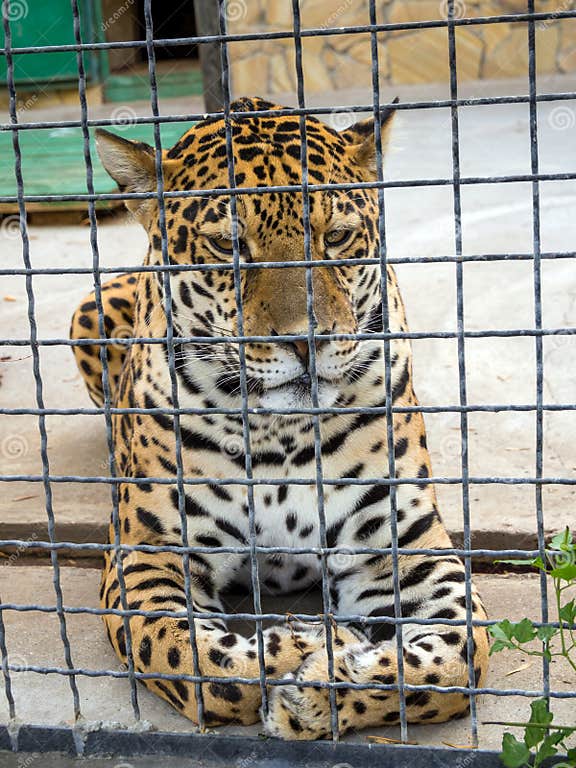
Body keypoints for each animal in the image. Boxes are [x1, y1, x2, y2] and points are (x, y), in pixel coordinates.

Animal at [70, 96, 489, 740]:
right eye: (227, 247)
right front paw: (304, 645)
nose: (306, 341)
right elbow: (187, 658)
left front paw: (322, 688)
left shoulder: (405, 549)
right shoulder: (149, 549)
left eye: (337, 237)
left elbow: (456, 661)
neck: (279, 437)